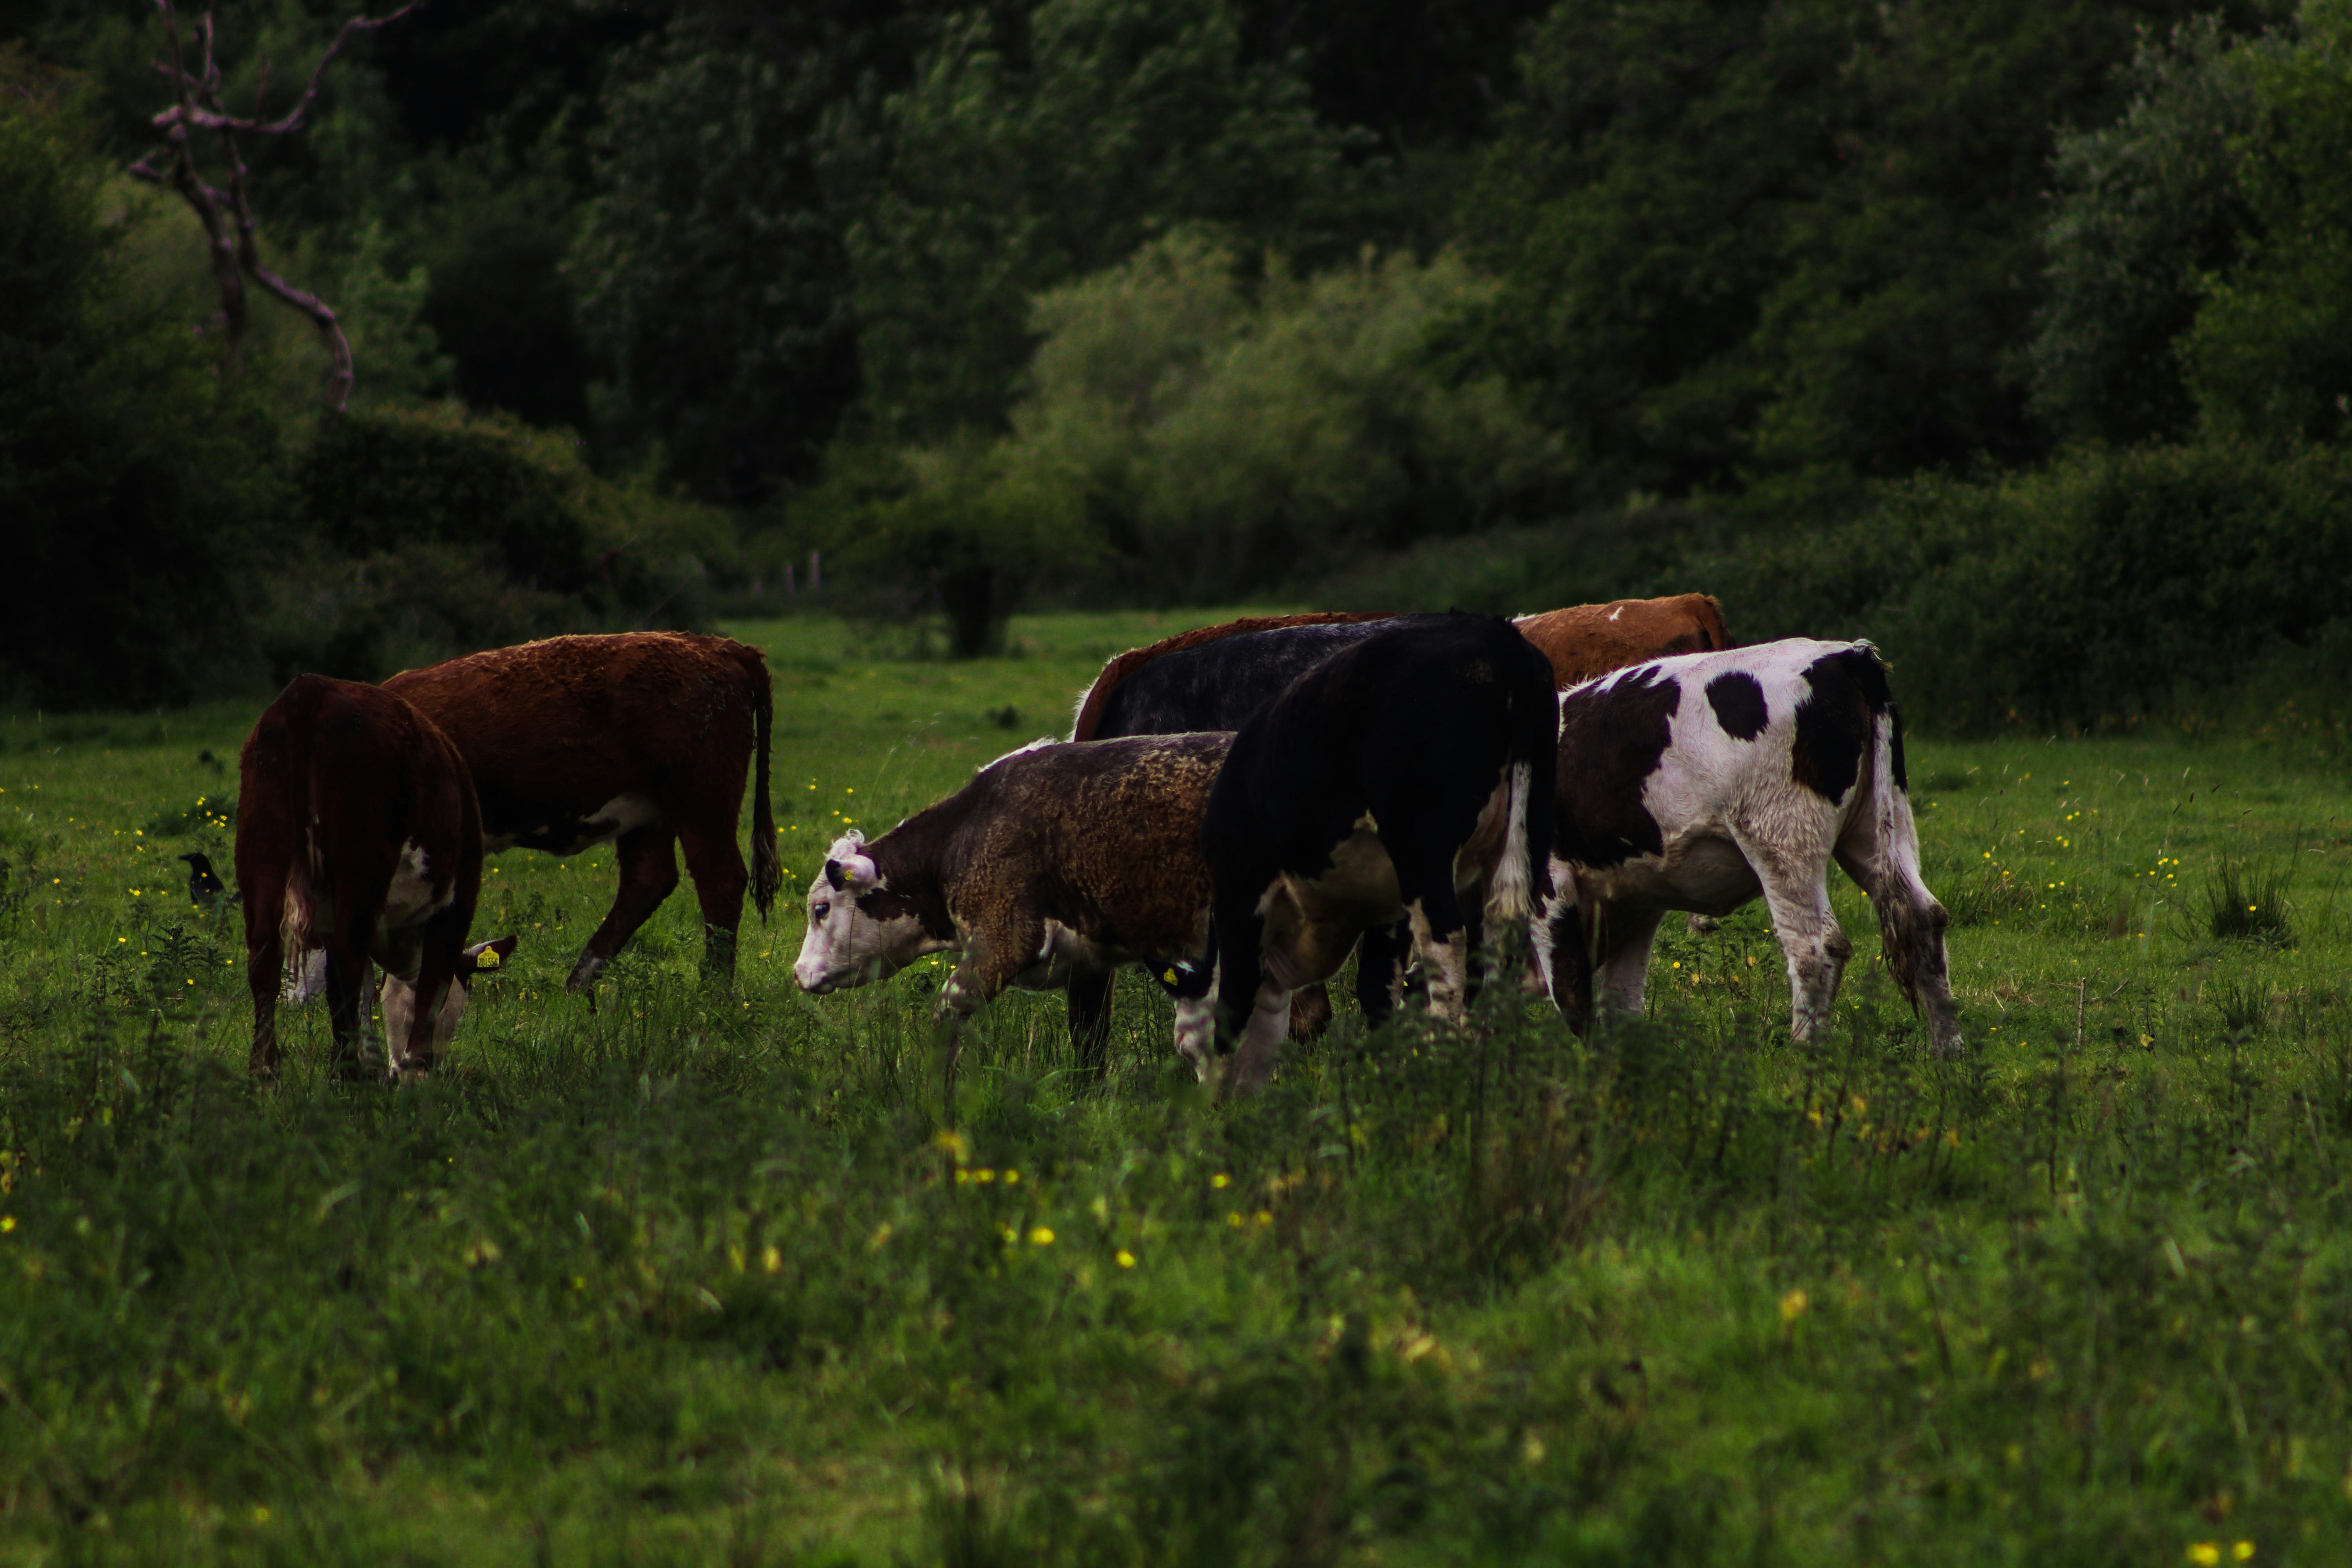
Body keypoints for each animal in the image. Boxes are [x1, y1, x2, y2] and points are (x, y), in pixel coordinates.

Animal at [236, 675, 510, 1080]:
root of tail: (309, 687)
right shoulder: (454, 909)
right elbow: (430, 991)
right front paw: (414, 1073)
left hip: (263, 857)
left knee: (265, 960)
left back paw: (266, 1071)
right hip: (361, 870)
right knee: (346, 966)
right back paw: (346, 1073)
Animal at [382, 632, 781, 990]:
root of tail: (716, 646)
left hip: (700, 808)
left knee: (720, 883)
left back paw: (712, 994)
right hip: (651, 816)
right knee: (647, 881)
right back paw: (578, 986)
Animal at [791, 735, 1230, 1079]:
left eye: (821, 909)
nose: (798, 973)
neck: (965, 832)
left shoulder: (1003, 943)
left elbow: (944, 1019)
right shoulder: (1092, 962)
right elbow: (1091, 1035)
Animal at [1201, 615, 1558, 1092]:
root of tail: (1496, 636)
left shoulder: (1240, 898)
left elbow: (1232, 1010)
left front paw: (1216, 1103)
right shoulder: (1386, 905)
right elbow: (1376, 987)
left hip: (1424, 848)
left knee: (1447, 951)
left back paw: (1445, 1068)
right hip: (1526, 831)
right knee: (1501, 944)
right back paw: (1495, 1065)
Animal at [1540, 639, 1963, 1055]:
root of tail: (1845, 655)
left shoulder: (1553, 889)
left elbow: (1573, 994)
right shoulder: (1637, 901)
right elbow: (1620, 1003)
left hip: (1782, 841)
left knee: (1816, 947)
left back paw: (1804, 1054)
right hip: (1881, 829)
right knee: (1924, 918)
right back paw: (1948, 1051)